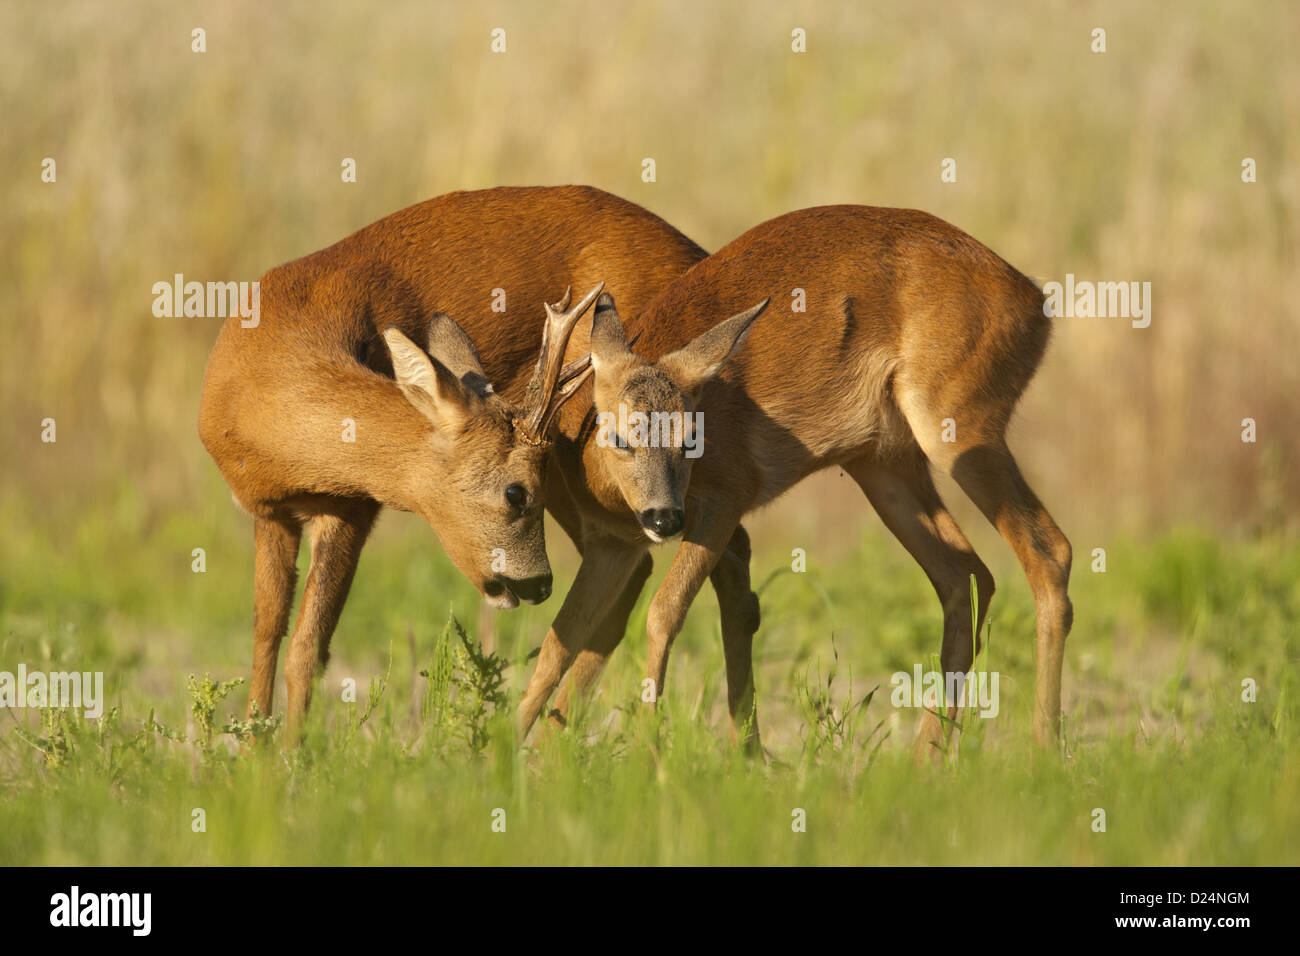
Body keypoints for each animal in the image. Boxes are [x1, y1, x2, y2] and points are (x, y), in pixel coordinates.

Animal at [197, 185, 717, 736]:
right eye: (515, 491)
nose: (538, 584)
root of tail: (696, 253)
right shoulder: (268, 511)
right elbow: (265, 635)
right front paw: (255, 746)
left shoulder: (350, 509)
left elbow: (307, 651)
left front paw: (293, 753)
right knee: (635, 562)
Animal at [516, 204, 1073, 754]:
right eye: (618, 435)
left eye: (691, 437)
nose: (663, 518)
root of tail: (1033, 300)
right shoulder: (613, 543)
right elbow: (559, 639)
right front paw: (508, 749)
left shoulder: (724, 500)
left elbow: (662, 613)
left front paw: (650, 745)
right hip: (885, 464)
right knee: (968, 574)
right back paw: (927, 760)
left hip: (959, 426)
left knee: (1049, 552)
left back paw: (1042, 750)